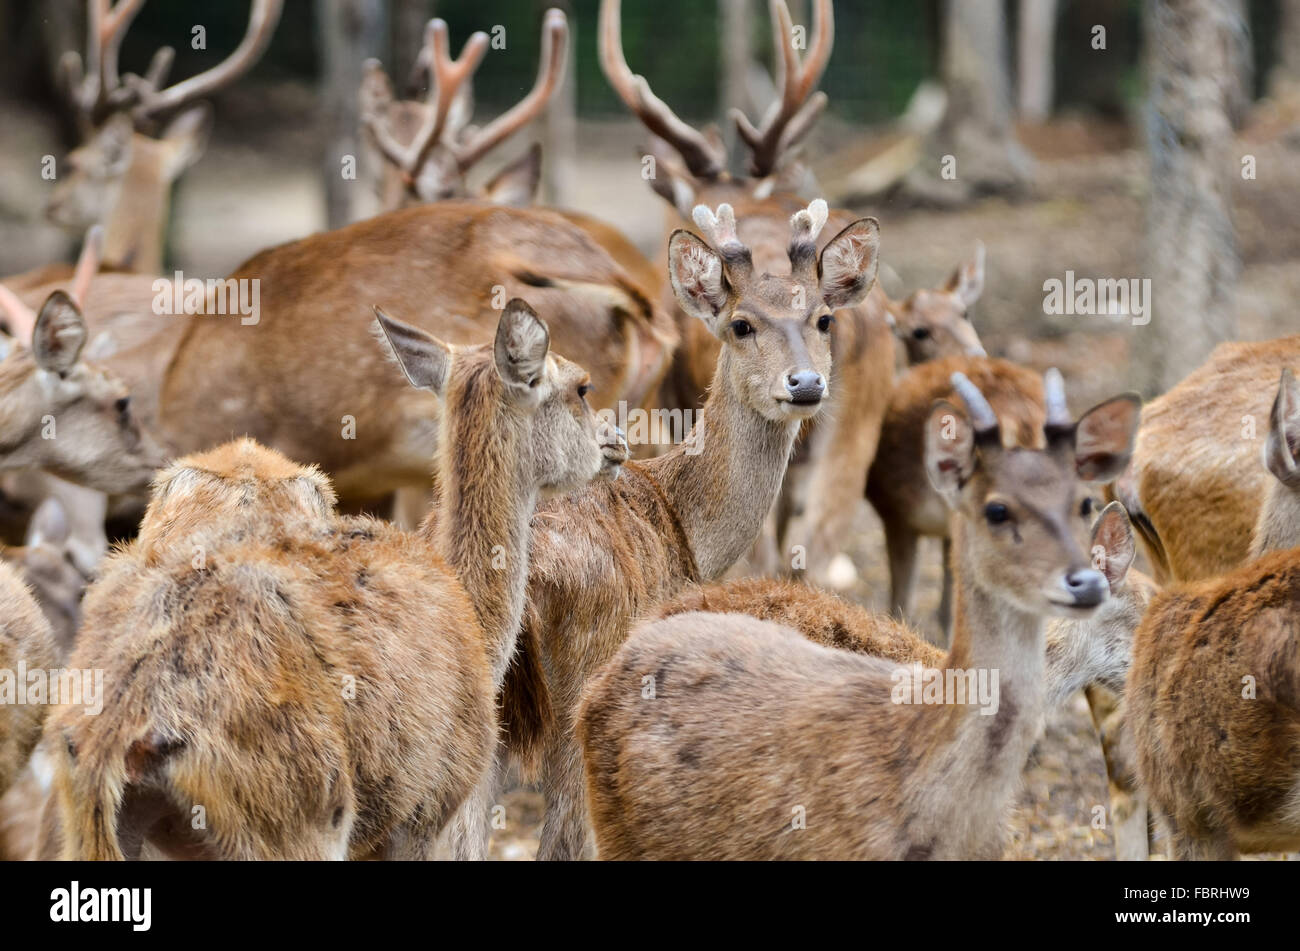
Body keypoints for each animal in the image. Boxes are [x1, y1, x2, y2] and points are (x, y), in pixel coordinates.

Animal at [45, 299, 626, 860]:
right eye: (582, 386)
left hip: (106, 829)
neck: (479, 629)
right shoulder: (429, 810)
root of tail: (124, 731)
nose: (617, 441)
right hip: (295, 822)